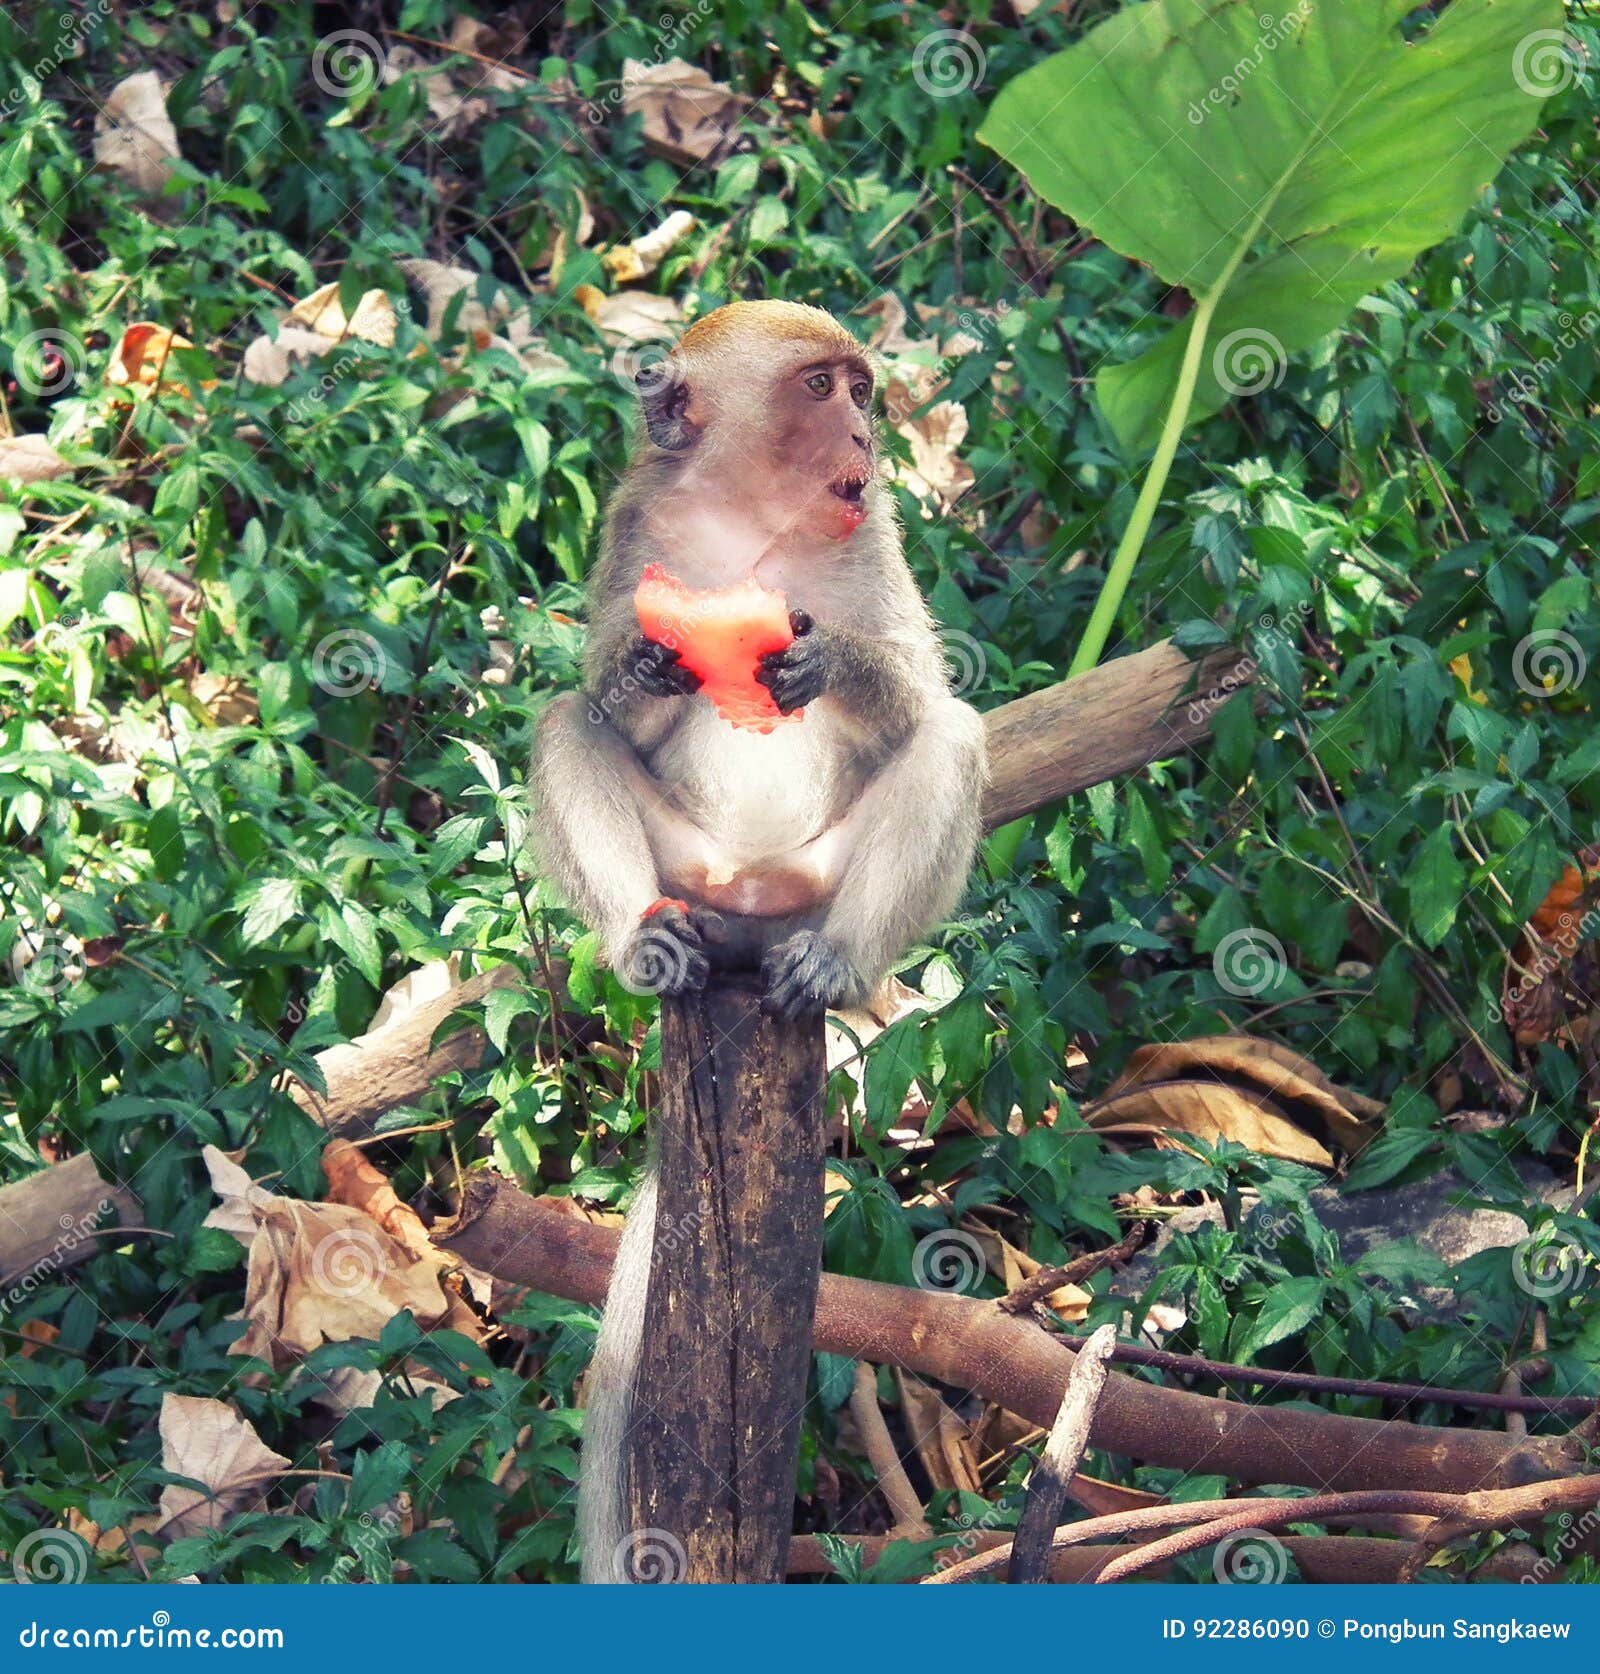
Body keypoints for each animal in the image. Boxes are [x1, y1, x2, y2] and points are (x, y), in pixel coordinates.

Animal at [527, 299, 986, 1581]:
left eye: (859, 389)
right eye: (823, 386)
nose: (867, 428)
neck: (753, 527)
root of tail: (749, 910)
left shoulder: (872, 537)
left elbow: (916, 697)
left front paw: (826, 661)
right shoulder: (636, 520)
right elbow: (602, 697)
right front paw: (642, 664)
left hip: (818, 886)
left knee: (949, 736)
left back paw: (834, 964)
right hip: (691, 871)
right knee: (564, 726)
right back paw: (649, 947)